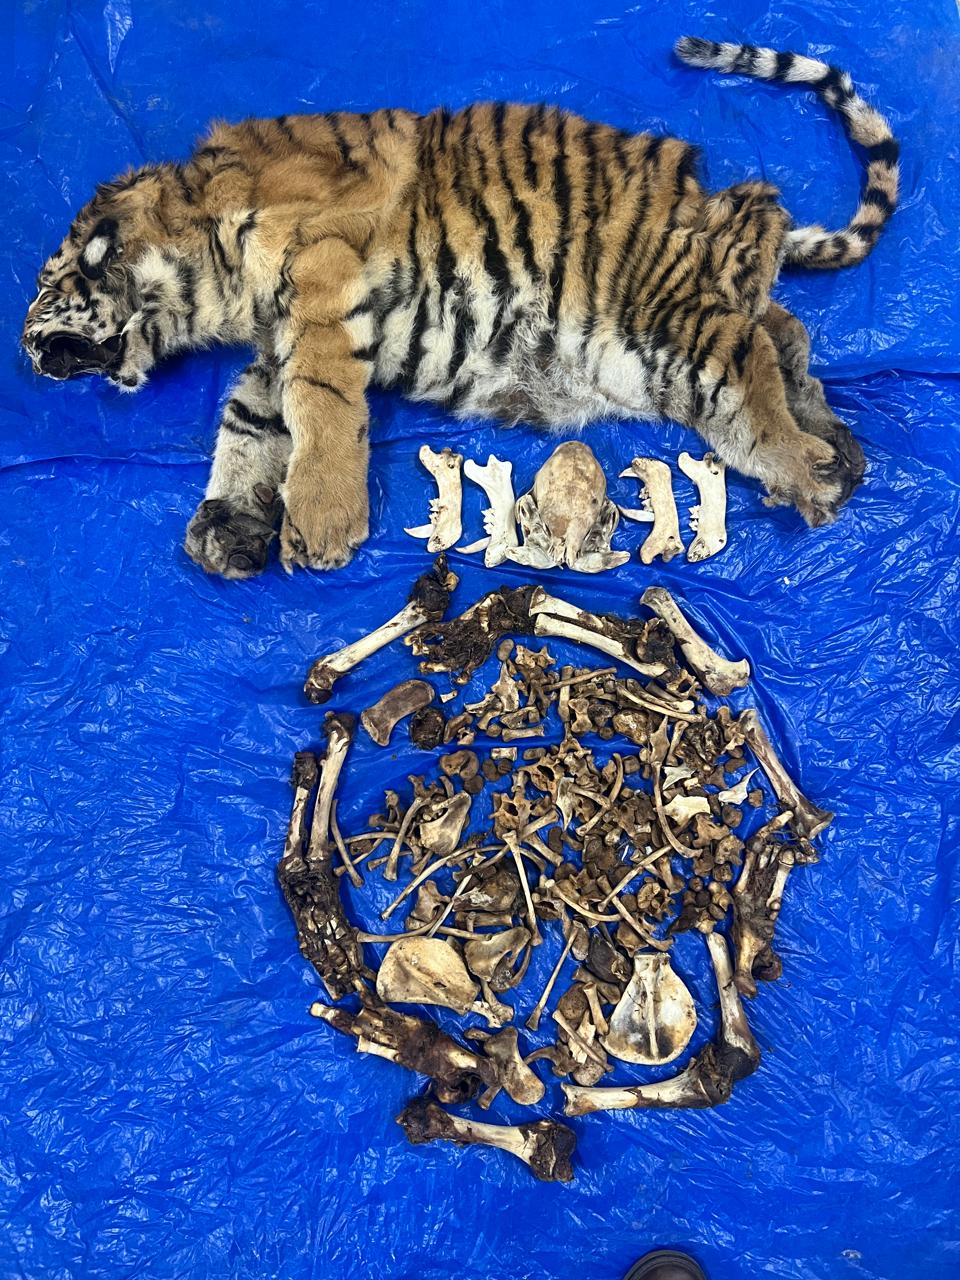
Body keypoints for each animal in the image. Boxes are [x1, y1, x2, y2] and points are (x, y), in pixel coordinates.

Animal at [21, 37, 899, 580]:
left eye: (45, 292)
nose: (28, 356)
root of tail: (716, 203)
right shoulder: (275, 339)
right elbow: (249, 420)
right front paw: (230, 525)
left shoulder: (322, 272)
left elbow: (318, 404)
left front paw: (324, 521)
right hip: (660, 344)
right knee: (780, 331)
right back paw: (837, 447)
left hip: (663, 316)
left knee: (750, 369)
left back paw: (809, 472)